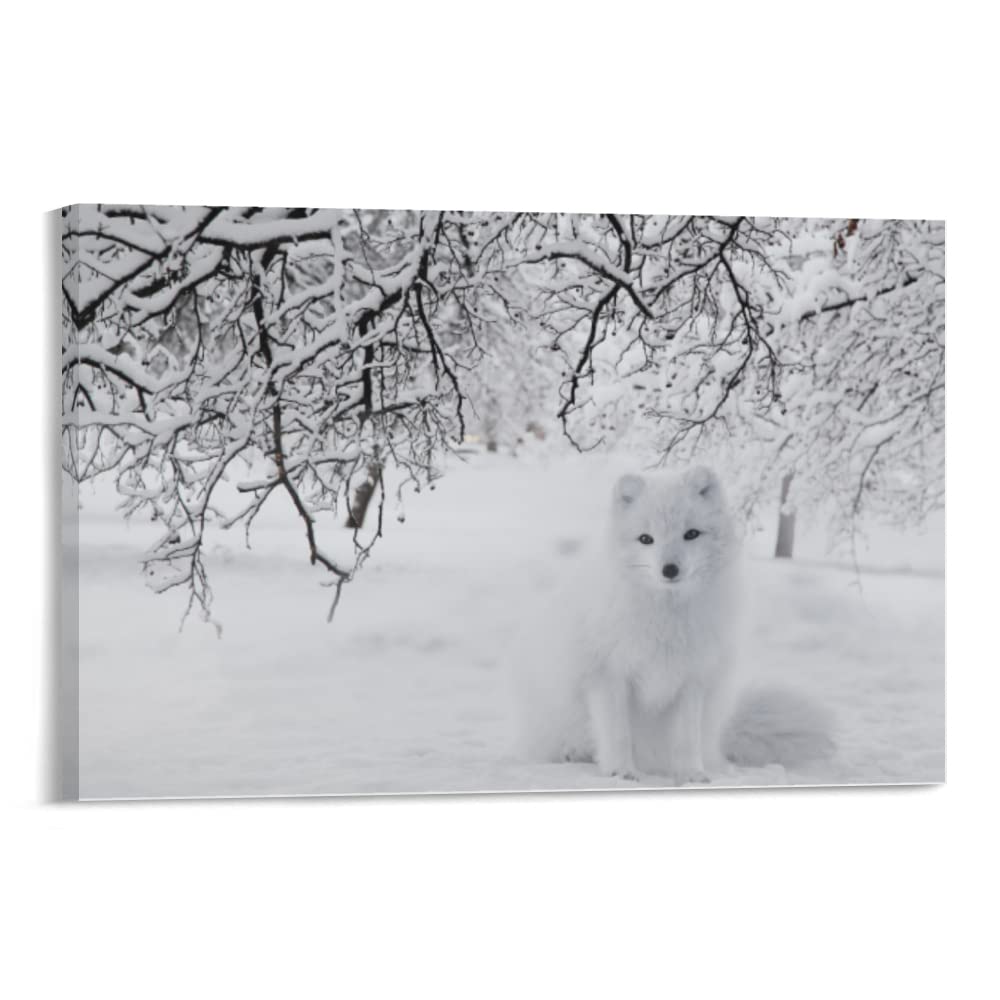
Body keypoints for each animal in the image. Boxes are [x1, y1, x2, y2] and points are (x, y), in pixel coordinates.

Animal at [512, 464, 834, 784]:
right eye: (646, 539)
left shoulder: (691, 679)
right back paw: (573, 753)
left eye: (691, 534)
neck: (666, 618)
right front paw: (621, 771)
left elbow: (686, 739)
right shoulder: (608, 674)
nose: (670, 569)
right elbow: (618, 733)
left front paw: (691, 774)